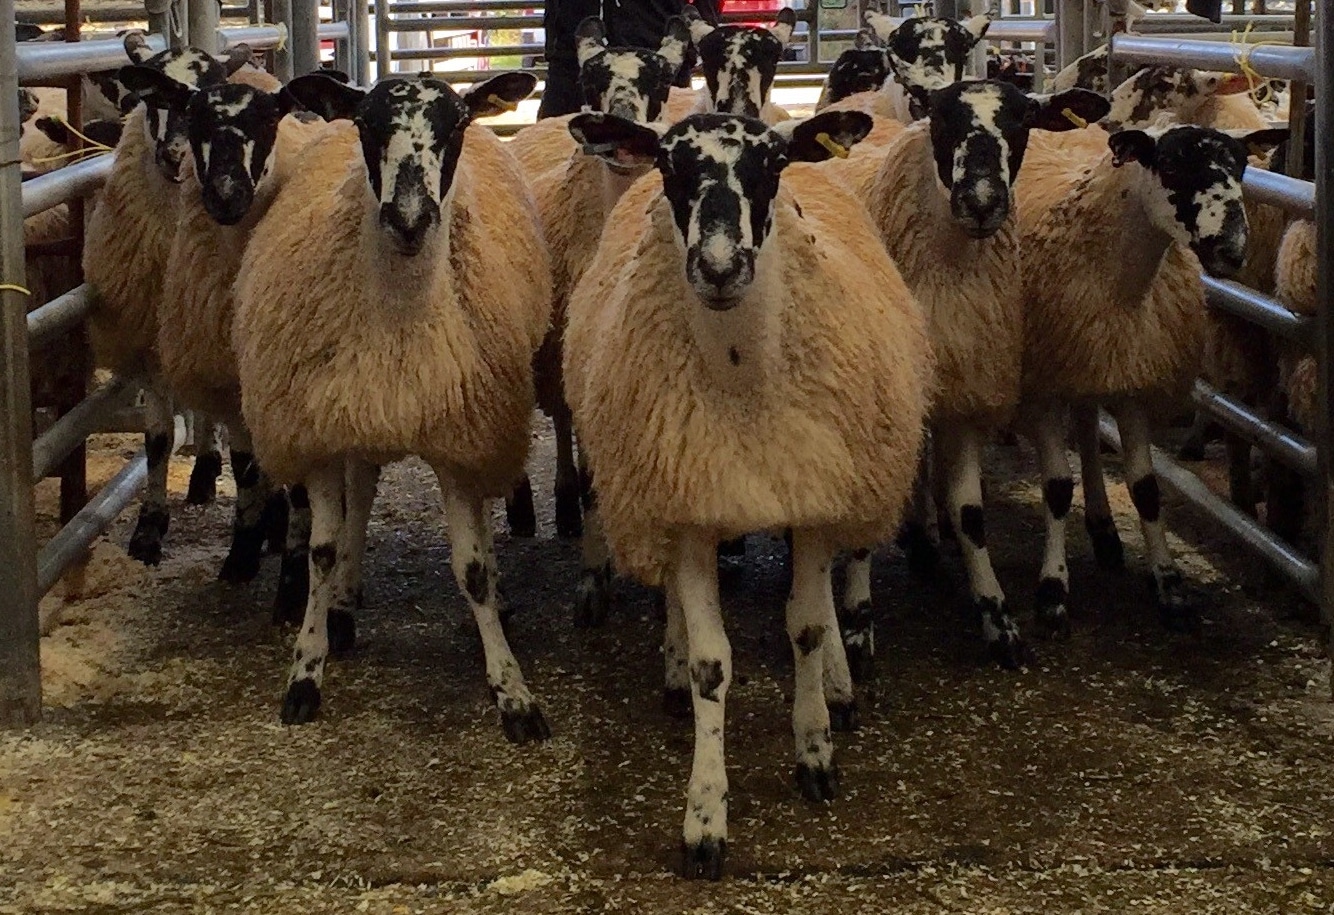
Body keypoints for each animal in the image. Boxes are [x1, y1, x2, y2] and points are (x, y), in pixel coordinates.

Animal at [81, 33, 255, 567]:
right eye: (149, 94)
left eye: (211, 97)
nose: (176, 156)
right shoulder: (149, 337)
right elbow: (157, 442)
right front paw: (148, 529)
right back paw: (202, 470)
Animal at [232, 73, 552, 740]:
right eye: (368, 123)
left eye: (456, 124)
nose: (409, 219)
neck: (400, 327)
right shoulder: (322, 431)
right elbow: (321, 554)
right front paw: (307, 669)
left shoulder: (461, 441)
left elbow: (472, 568)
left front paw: (512, 690)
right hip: (356, 415)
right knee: (362, 491)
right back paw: (344, 603)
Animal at [563, 108, 931, 876]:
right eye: (669, 167)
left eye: (772, 165)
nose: (720, 266)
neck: (740, 377)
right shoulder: (689, 503)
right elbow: (713, 664)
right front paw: (705, 815)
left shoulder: (813, 491)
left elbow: (808, 626)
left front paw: (816, 750)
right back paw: (674, 669)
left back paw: (839, 683)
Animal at [832, 81, 1109, 671]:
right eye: (941, 118)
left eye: (1024, 120)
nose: (981, 202)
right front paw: (858, 627)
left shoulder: (970, 384)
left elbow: (977, 511)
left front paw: (1005, 615)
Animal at [1016, 122, 1286, 633]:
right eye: (1173, 165)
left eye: (1242, 166)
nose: (1232, 250)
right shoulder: (1042, 382)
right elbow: (1057, 487)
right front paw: (1052, 591)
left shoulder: (1131, 378)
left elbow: (1146, 488)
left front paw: (1169, 584)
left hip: (1093, 362)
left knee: (1087, 428)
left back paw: (1104, 530)